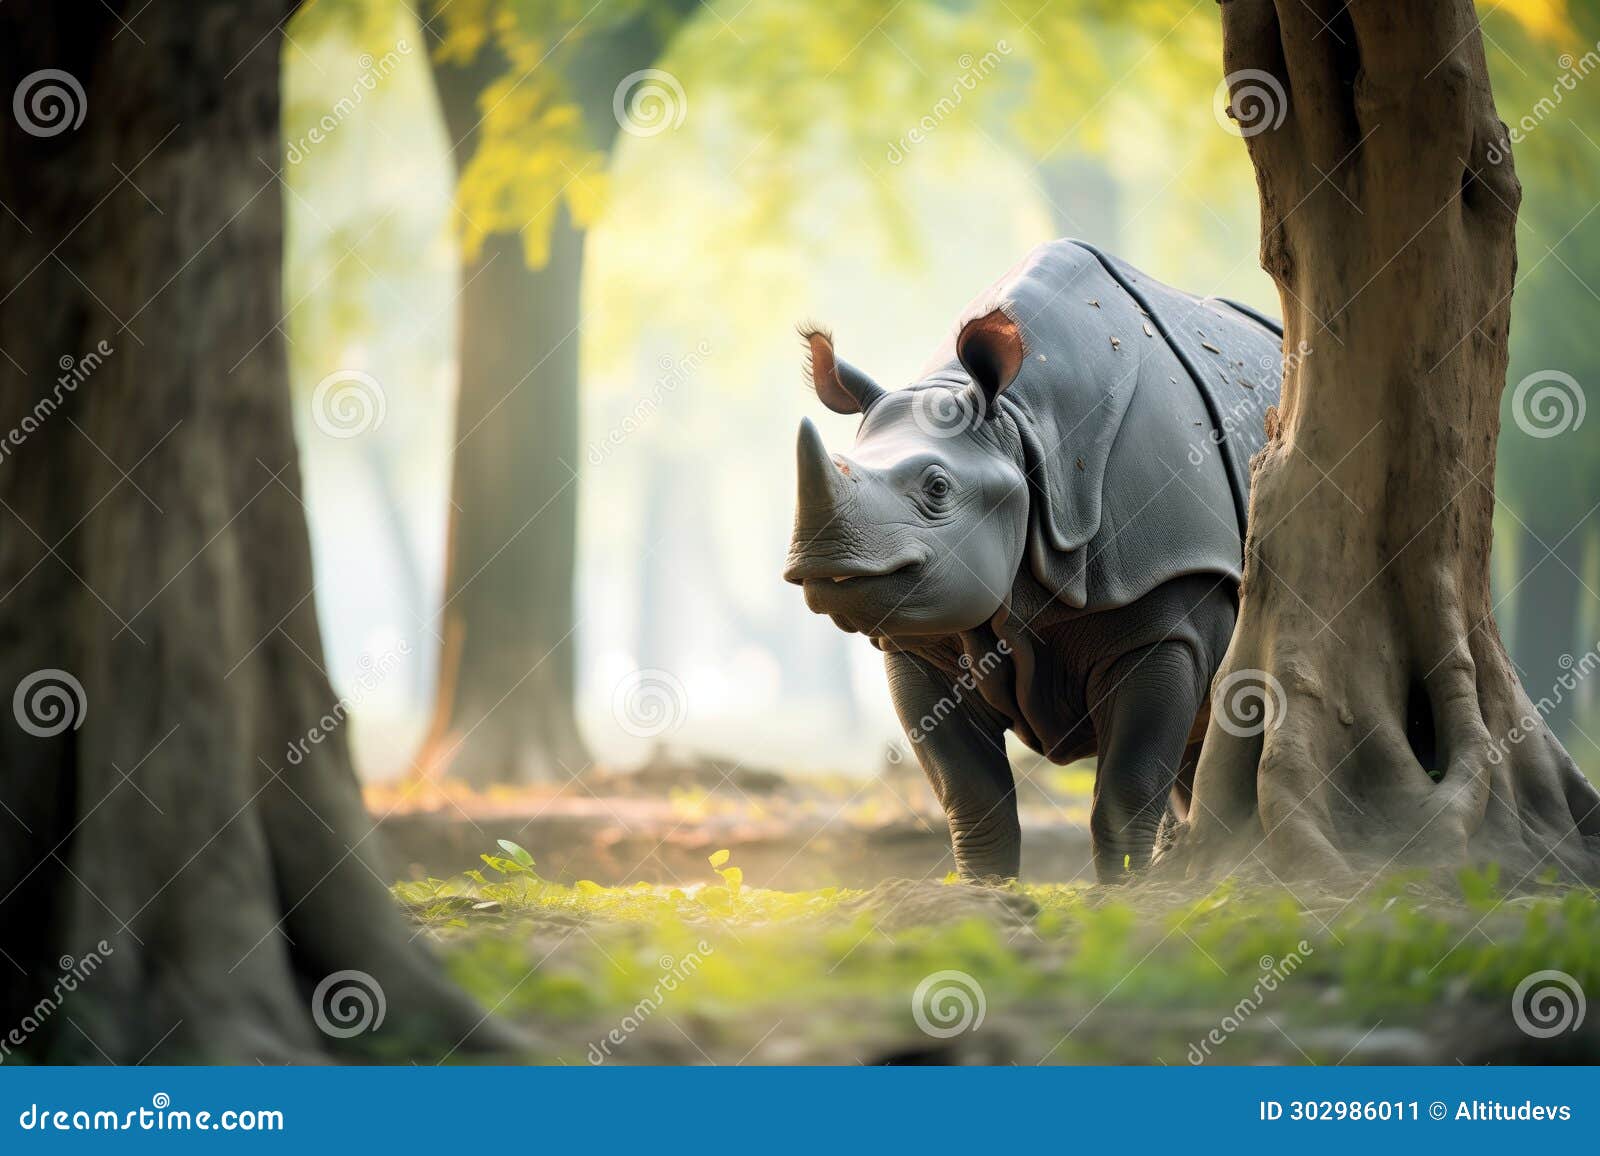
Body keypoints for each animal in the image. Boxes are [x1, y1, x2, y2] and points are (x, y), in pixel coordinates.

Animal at [783, 239, 1283, 882]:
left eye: (937, 488)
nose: (823, 559)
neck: (1020, 427)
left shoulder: (1173, 593)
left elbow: (1125, 790)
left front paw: (1123, 897)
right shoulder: (917, 641)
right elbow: (972, 798)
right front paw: (987, 895)